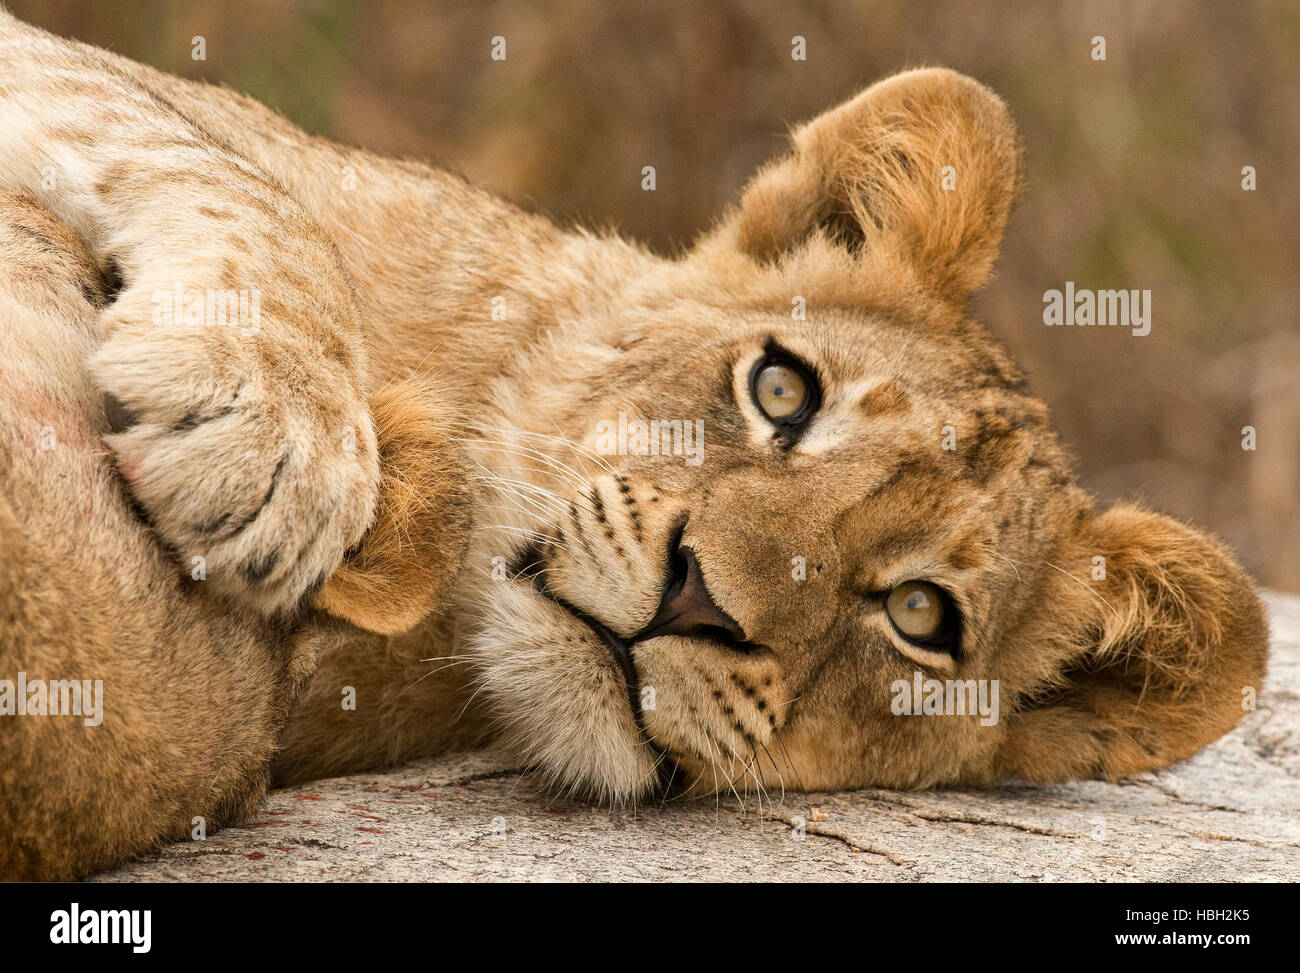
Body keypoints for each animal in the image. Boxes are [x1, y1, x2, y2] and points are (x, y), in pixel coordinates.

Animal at [0, 11, 1269, 880]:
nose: (694, 598)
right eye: (781, 389)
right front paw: (274, 443)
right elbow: (221, 166)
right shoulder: (75, 70)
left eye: (920, 615)